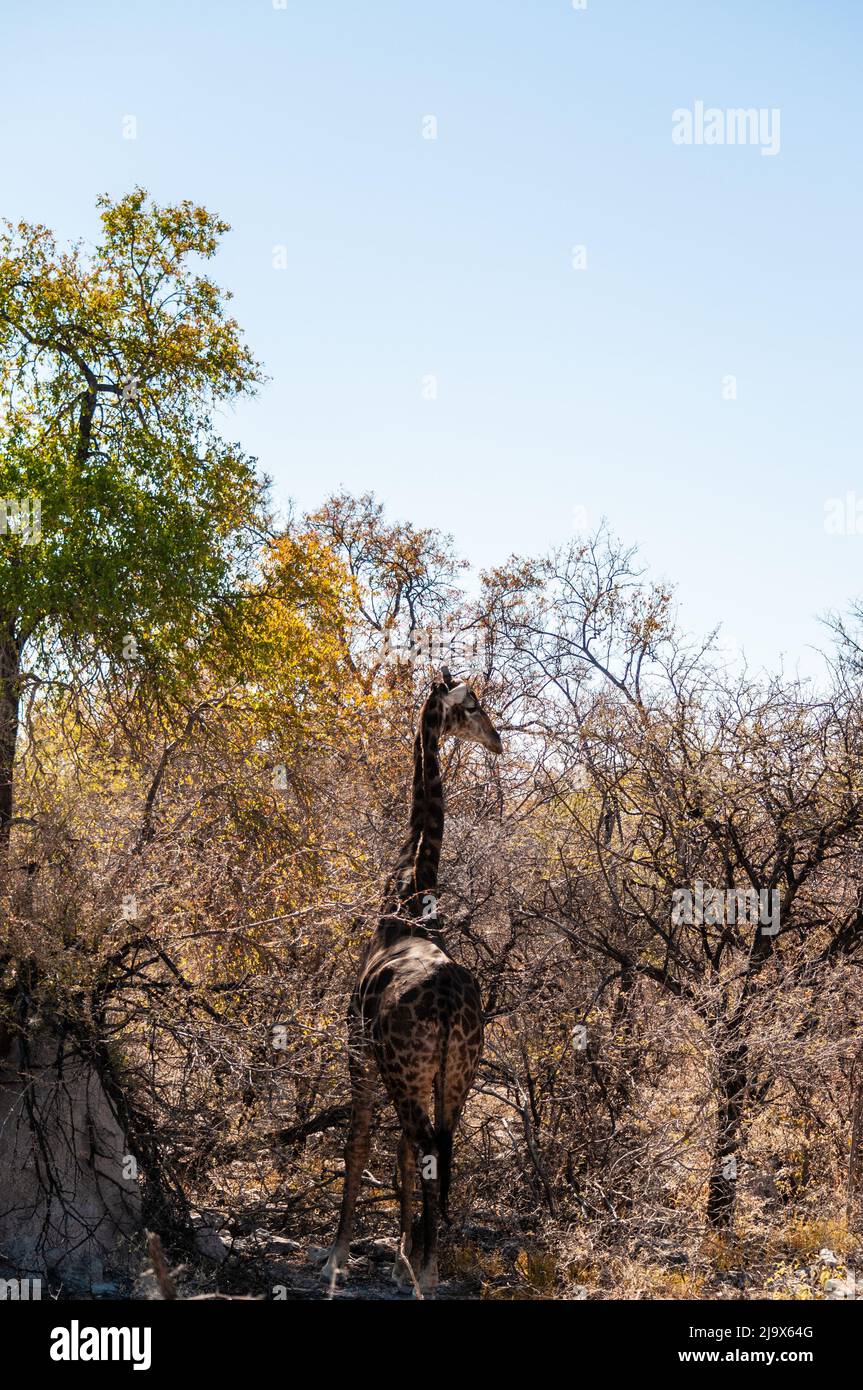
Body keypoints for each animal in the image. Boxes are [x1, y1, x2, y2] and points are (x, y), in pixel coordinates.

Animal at [321, 668, 502, 1295]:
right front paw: (399, 1253)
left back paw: (425, 1271)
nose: (497, 741)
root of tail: (447, 1008)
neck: (409, 900)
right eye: (470, 706)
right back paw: (429, 1263)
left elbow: (358, 1144)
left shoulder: (358, 1050)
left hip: (404, 1070)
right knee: (441, 1148)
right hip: (458, 1073)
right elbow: (396, 1153)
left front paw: (338, 1254)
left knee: (420, 1147)